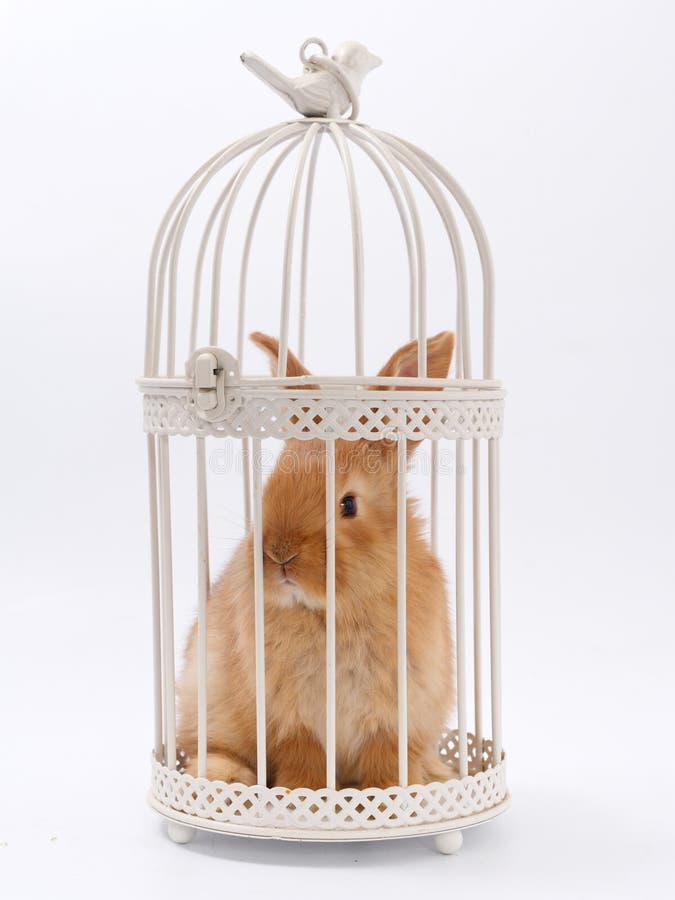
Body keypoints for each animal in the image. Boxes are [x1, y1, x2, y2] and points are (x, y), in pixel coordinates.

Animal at [176, 329, 456, 790]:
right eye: (272, 482)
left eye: (348, 504)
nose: (280, 554)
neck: (334, 611)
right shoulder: (293, 719)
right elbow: (304, 760)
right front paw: (298, 794)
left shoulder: (396, 716)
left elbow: (386, 762)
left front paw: (389, 796)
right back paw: (226, 777)